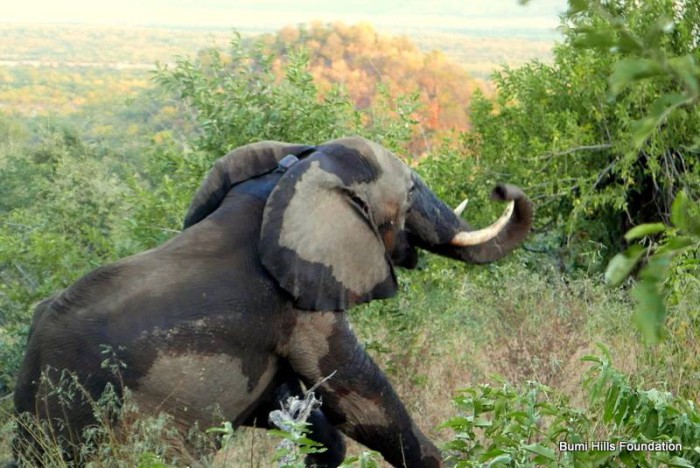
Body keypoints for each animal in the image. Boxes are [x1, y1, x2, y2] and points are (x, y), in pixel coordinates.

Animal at [12, 136, 533, 467]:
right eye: (409, 191)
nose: (501, 187)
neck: (288, 179)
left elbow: (293, 406)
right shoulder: (298, 307)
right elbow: (359, 400)